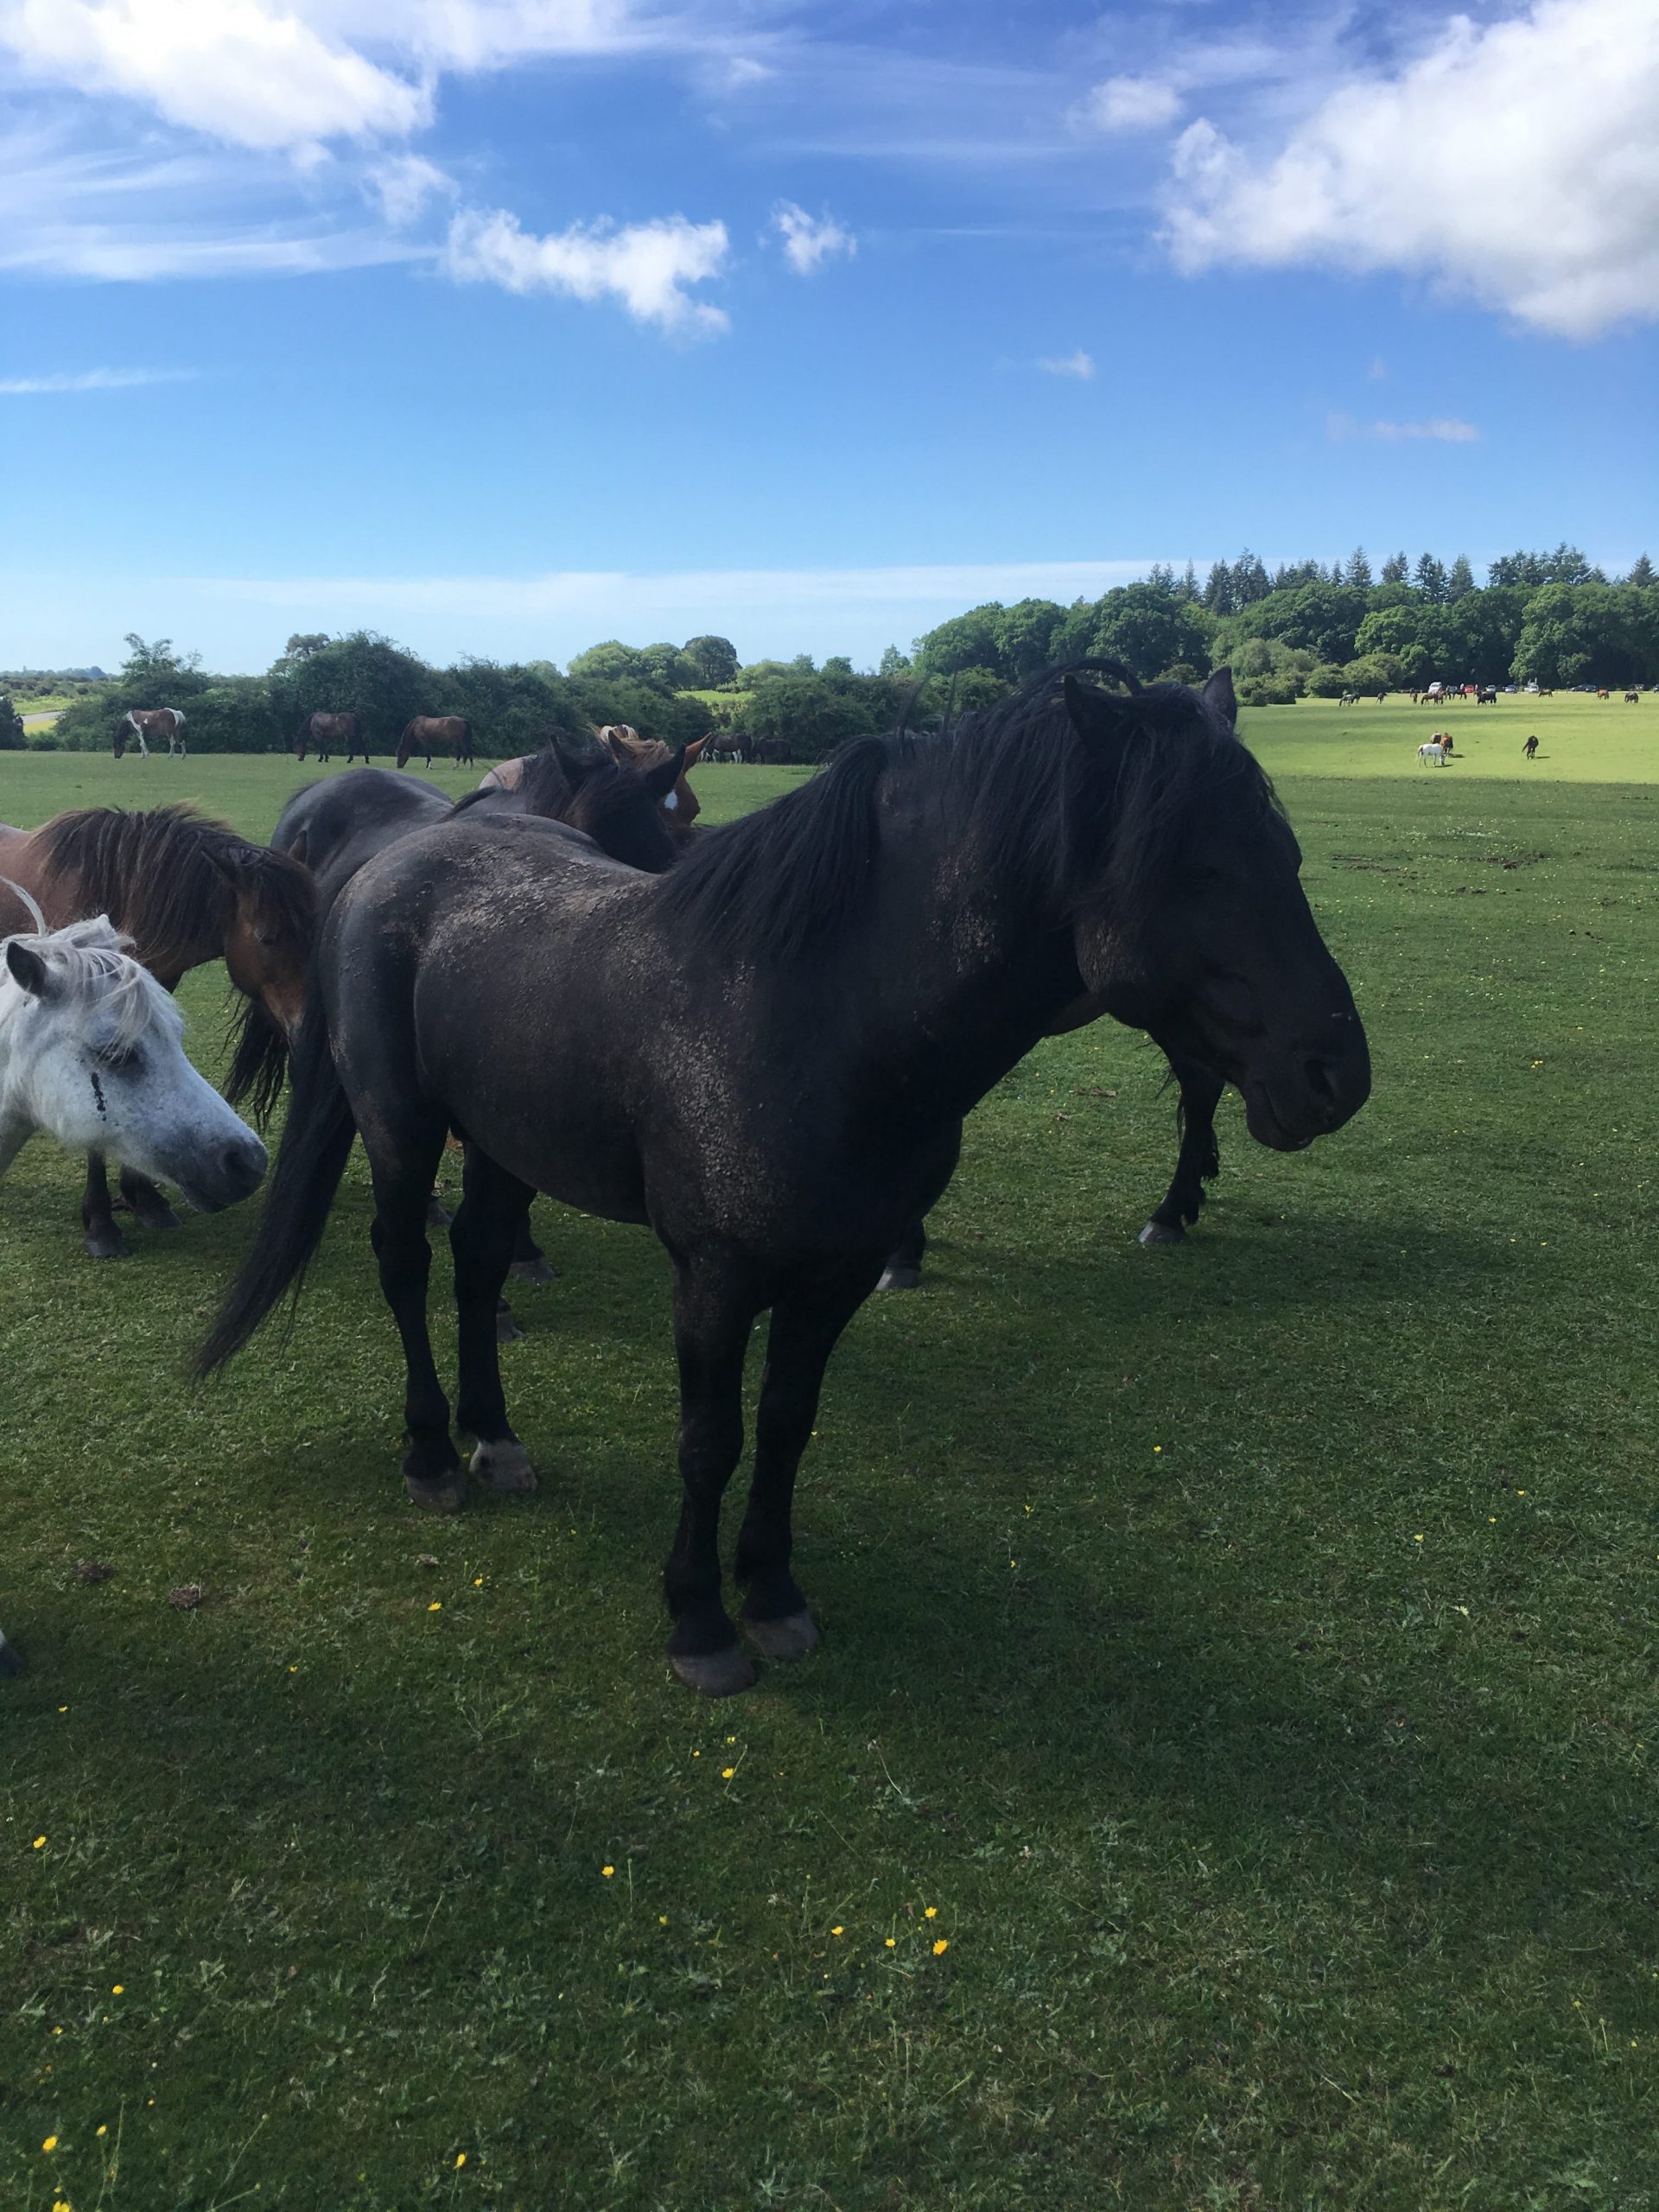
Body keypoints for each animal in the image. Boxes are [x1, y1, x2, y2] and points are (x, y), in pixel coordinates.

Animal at [200, 663, 1370, 1697]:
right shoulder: (715, 1279)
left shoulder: (834, 1275)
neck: (811, 1012)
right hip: (401, 1132)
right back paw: (433, 1455)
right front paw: (701, 1621)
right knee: (404, 1267)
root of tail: (391, 862)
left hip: (500, 1143)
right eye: (1195, 867)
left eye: (1284, 853)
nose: (1337, 1076)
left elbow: (786, 1426)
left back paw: (497, 1437)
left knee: (480, 1266)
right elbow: (709, 1442)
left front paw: (770, 1592)